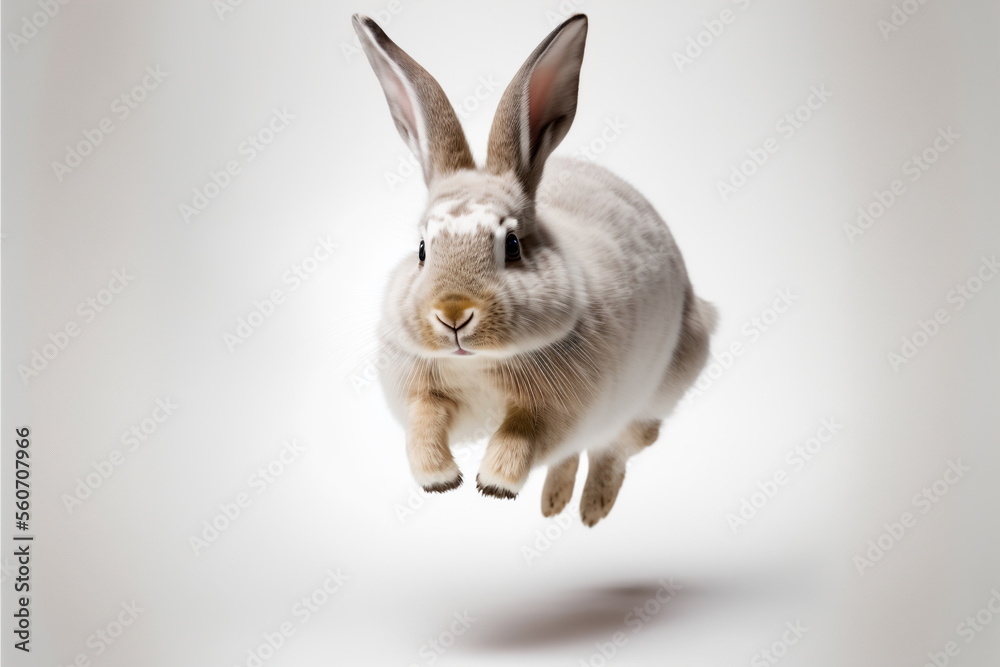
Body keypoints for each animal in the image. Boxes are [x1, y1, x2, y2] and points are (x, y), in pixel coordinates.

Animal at [352, 13, 716, 526]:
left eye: (512, 245)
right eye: (422, 249)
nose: (453, 314)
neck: (477, 363)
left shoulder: (556, 410)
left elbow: (522, 436)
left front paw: (494, 483)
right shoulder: (421, 391)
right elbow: (424, 426)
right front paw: (439, 478)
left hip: (651, 396)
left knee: (614, 448)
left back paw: (591, 510)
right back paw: (553, 504)